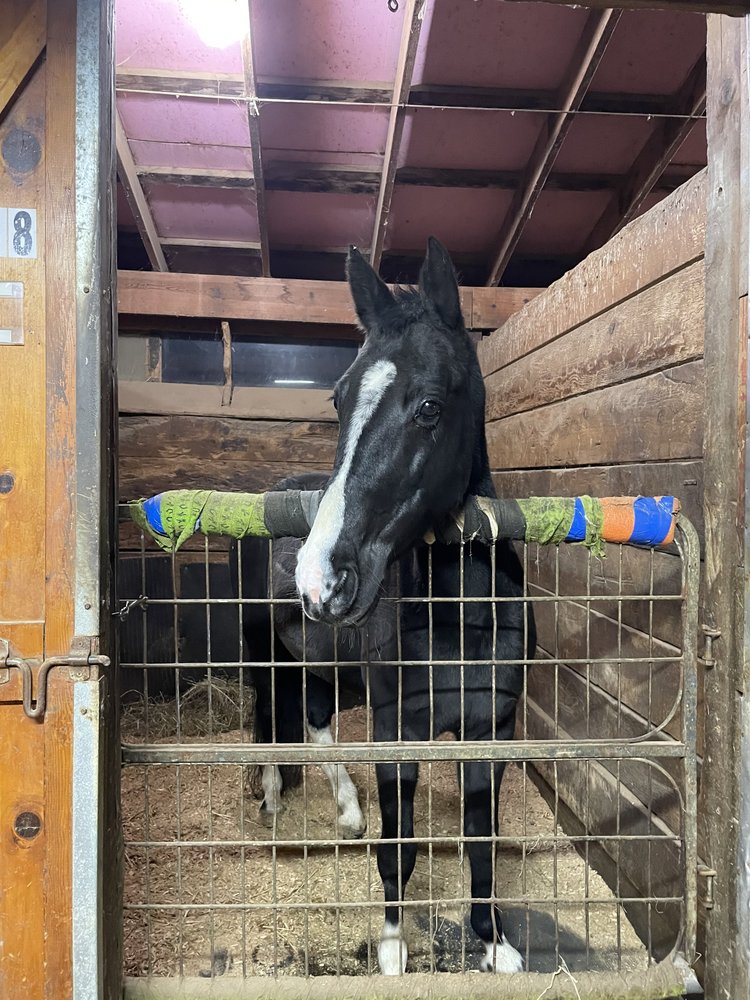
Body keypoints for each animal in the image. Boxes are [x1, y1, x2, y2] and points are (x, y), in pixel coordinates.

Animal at [241, 237, 535, 975]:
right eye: (338, 397)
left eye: (428, 405)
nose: (319, 578)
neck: (462, 619)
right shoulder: (396, 730)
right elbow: (398, 847)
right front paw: (393, 950)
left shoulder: (491, 732)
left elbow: (481, 837)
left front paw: (495, 942)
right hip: (260, 654)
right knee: (266, 718)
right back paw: (273, 797)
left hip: (316, 657)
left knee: (316, 719)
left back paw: (347, 812)